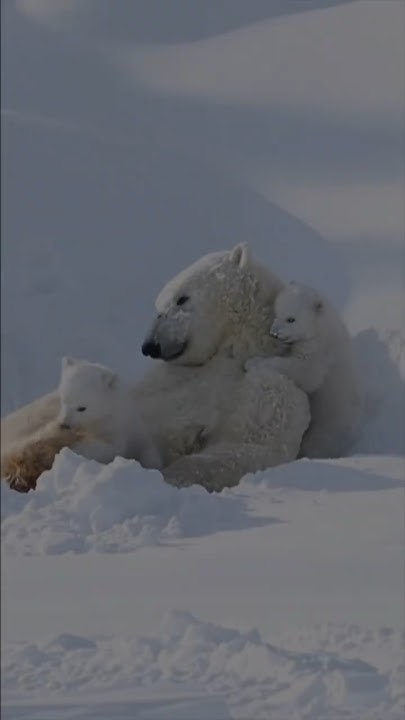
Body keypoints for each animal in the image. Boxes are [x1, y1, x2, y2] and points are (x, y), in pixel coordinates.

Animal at [1, 243, 310, 493]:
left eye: (182, 298)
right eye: (159, 304)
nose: (149, 346)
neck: (233, 352)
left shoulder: (266, 391)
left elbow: (244, 447)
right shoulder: (160, 384)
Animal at [245, 281, 362, 458]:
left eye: (291, 319)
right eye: (277, 313)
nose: (274, 333)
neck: (321, 326)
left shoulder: (320, 352)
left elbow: (307, 373)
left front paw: (252, 363)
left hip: (327, 426)